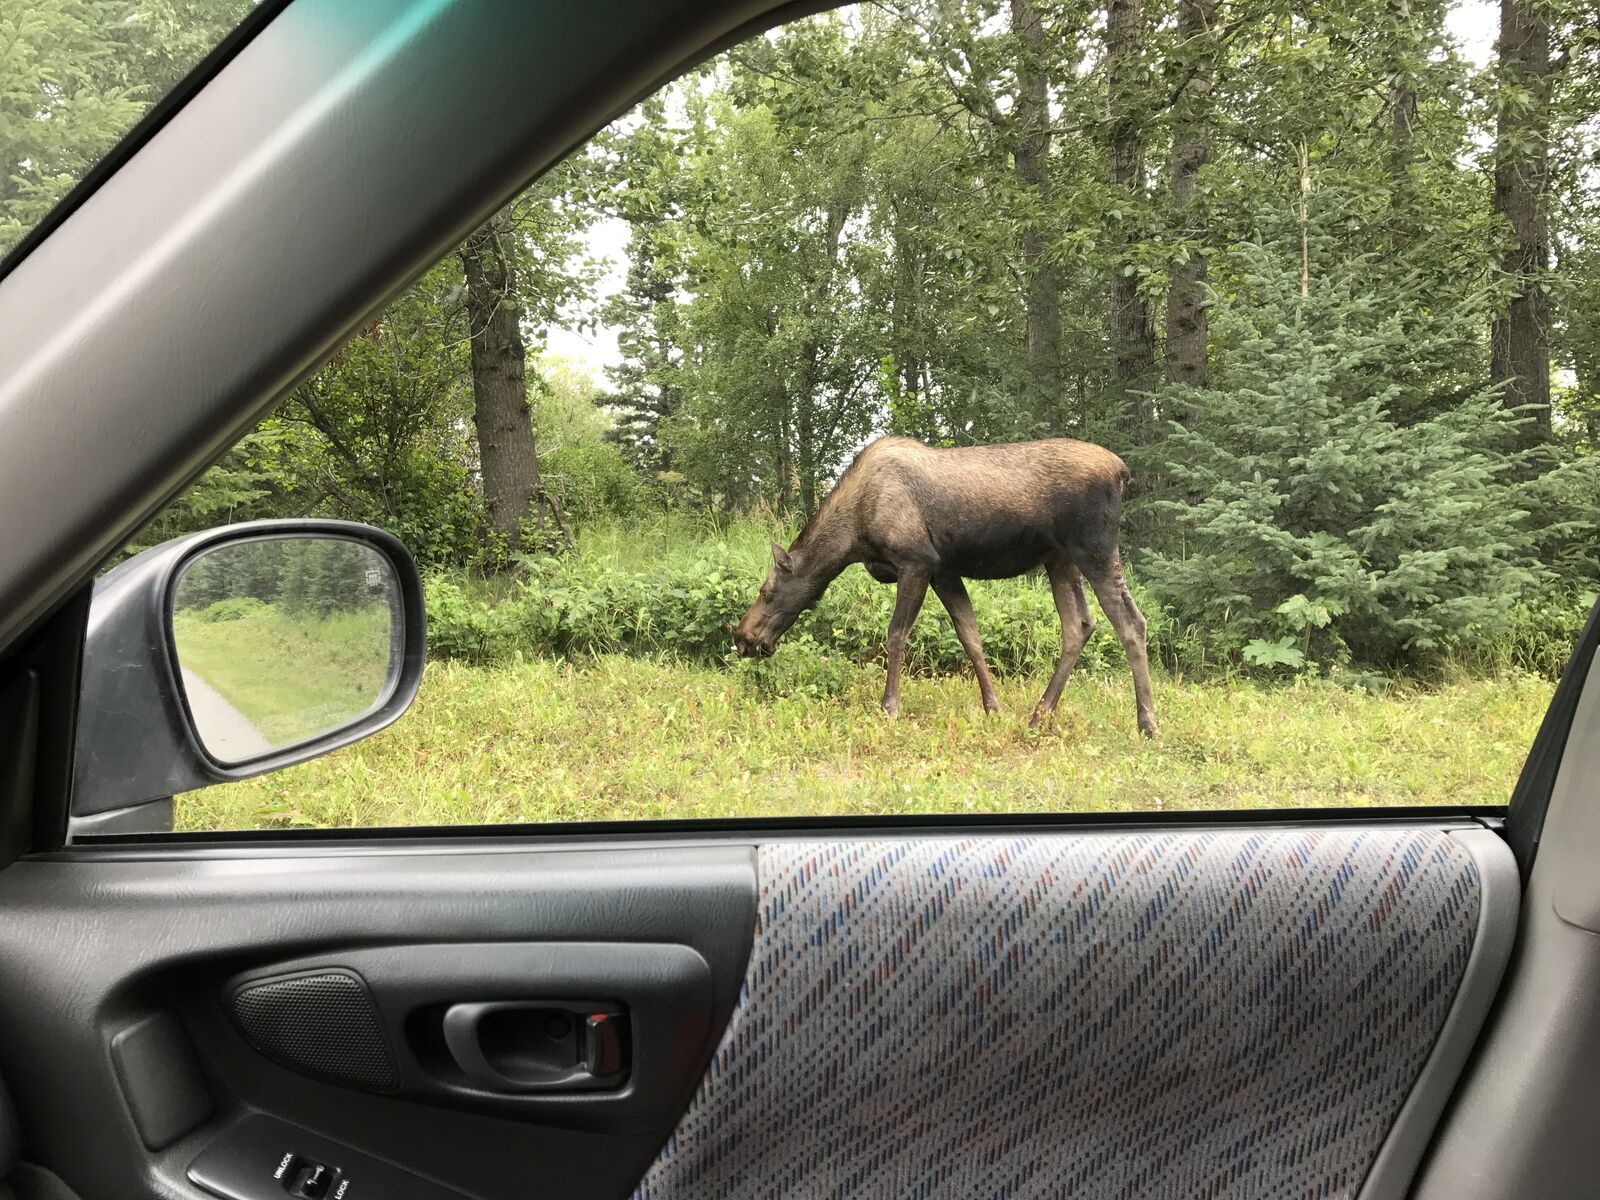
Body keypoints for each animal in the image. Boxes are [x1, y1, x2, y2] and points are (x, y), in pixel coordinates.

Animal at [733, 436, 1157, 736]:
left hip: (1093, 549)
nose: (742, 637)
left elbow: (896, 634)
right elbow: (970, 635)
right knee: (1079, 625)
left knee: (1131, 622)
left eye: (766, 591)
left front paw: (889, 708)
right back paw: (1038, 715)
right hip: (1059, 558)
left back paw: (1147, 722)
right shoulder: (945, 572)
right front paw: (993, 707)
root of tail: (1122, 470)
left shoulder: (916, 562)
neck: (853, 537)